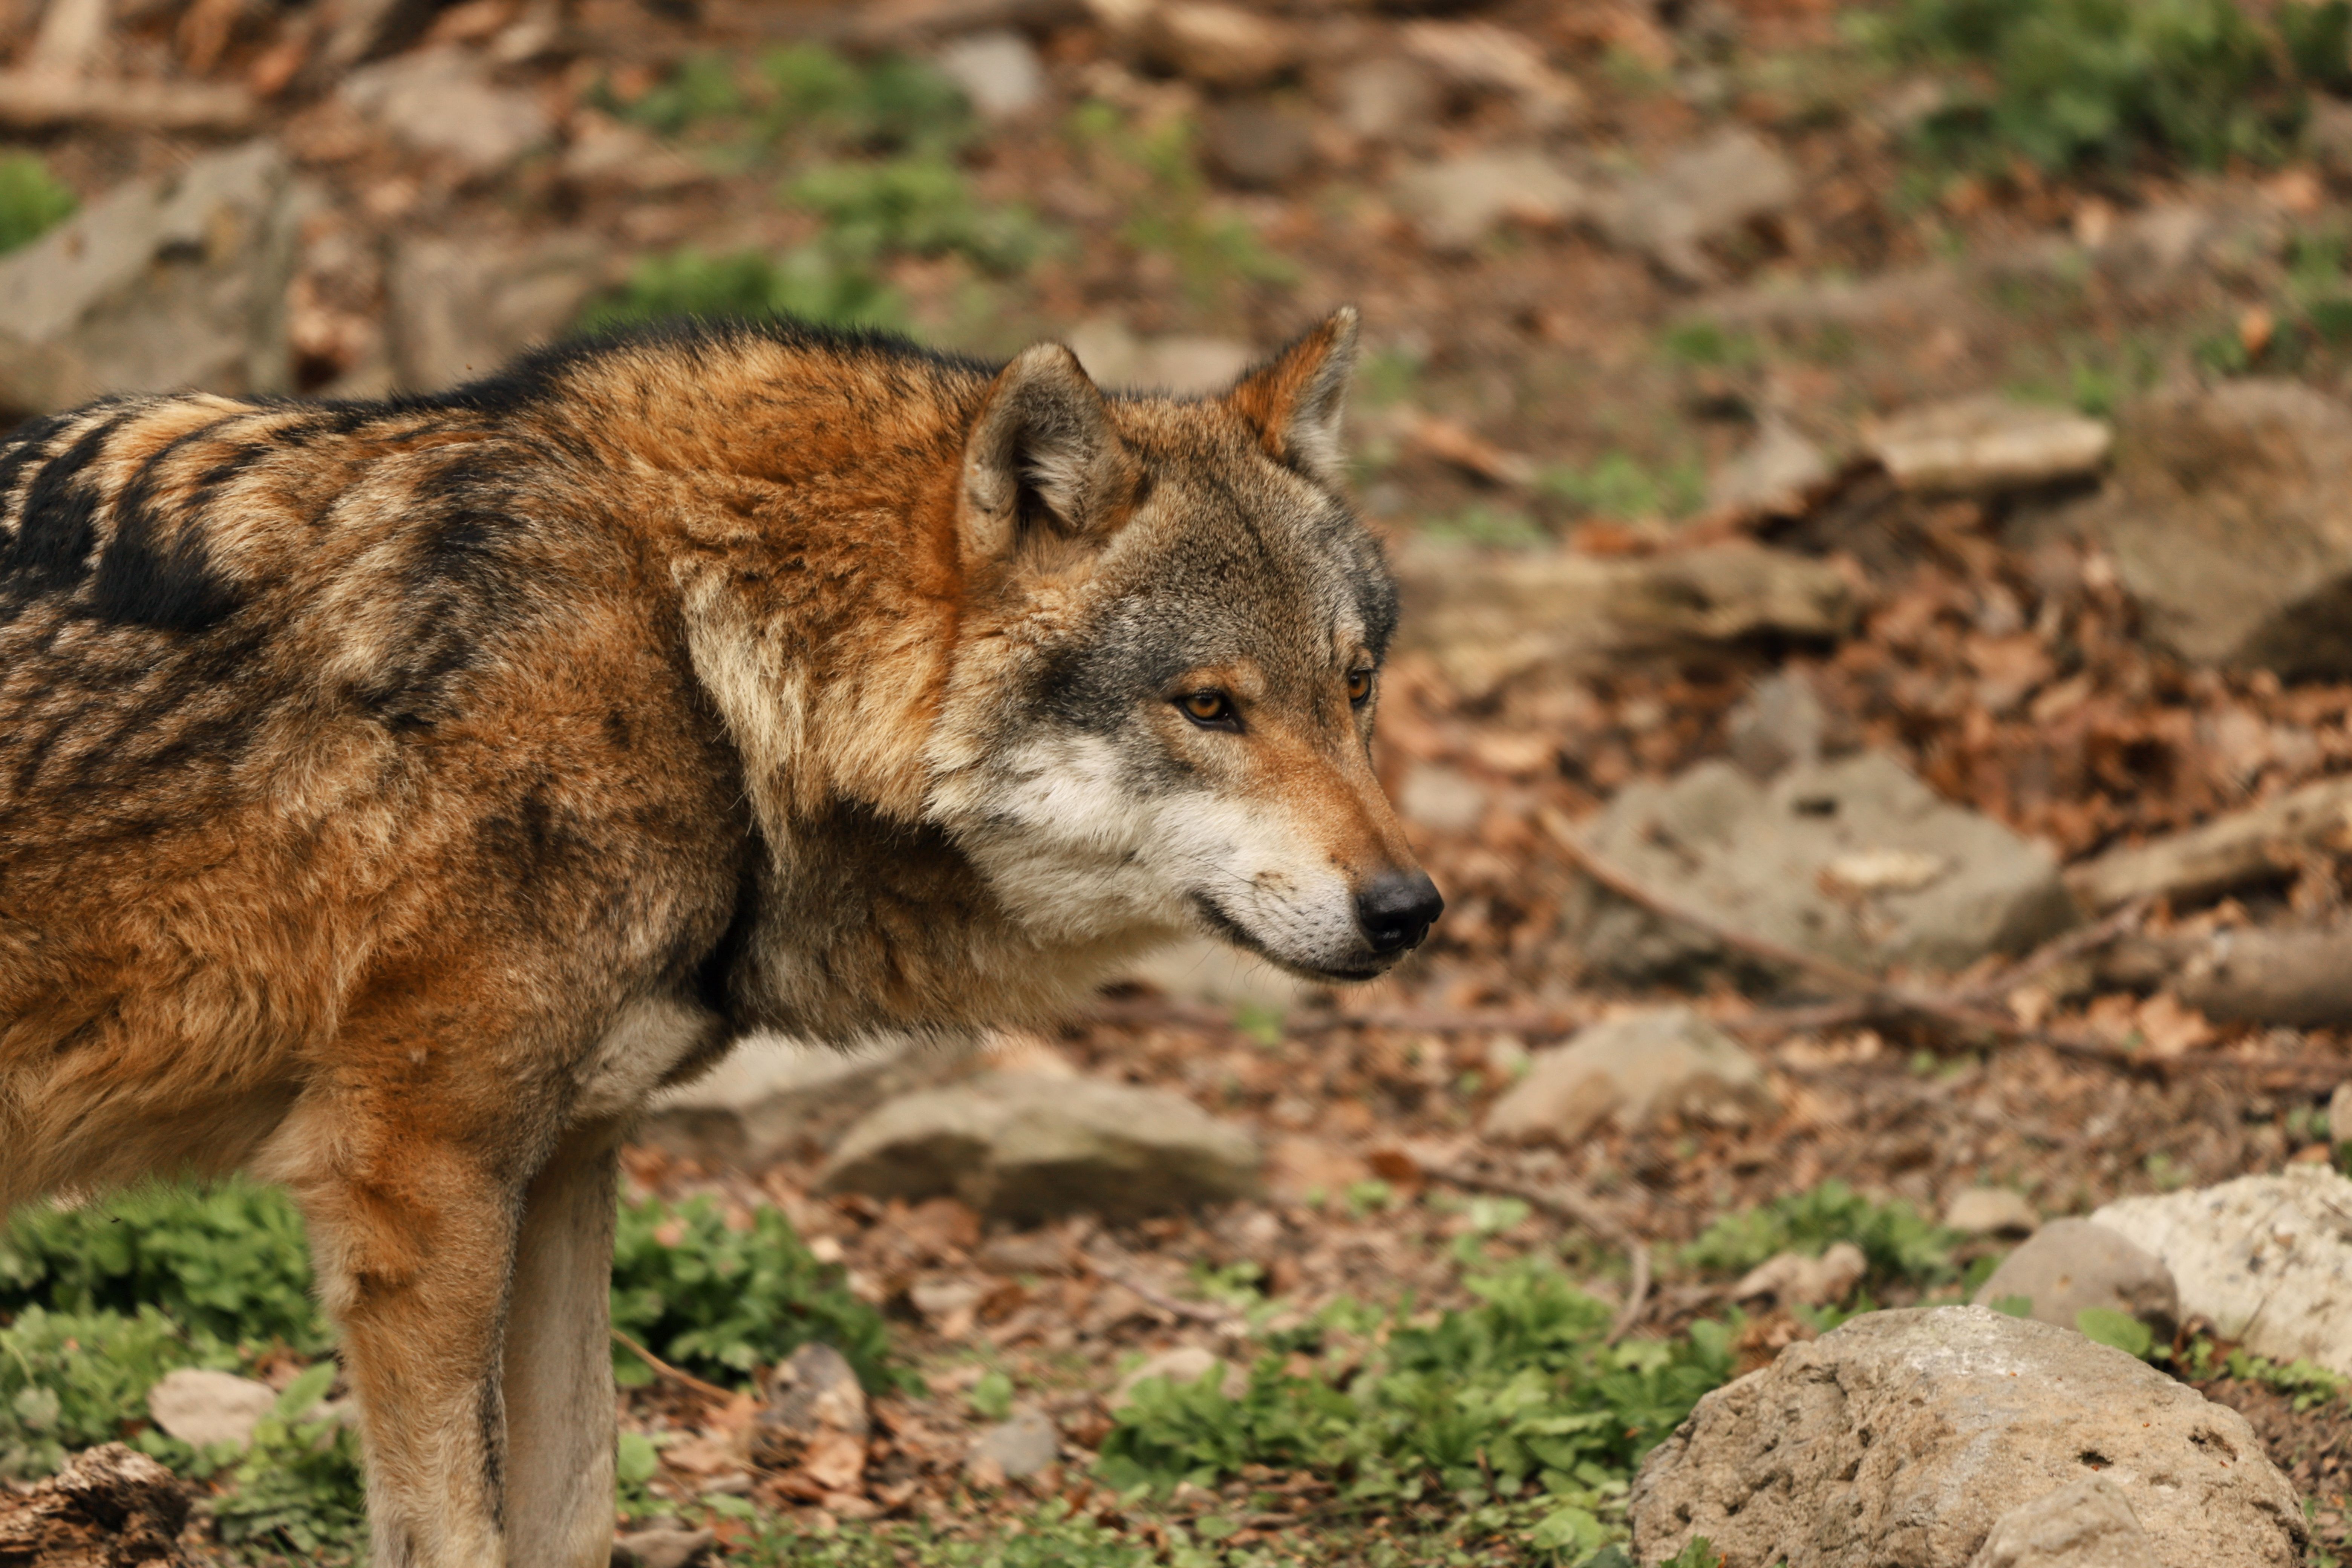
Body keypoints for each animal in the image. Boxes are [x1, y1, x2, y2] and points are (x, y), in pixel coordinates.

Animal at [0, 306, 1440, 1565]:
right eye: (1209, 706)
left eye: (1354, 687)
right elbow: (458, 1534)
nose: (1410, 909)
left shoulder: (563, 1158)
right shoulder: (417, 1180)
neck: (693, 663)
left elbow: (576, 1510)